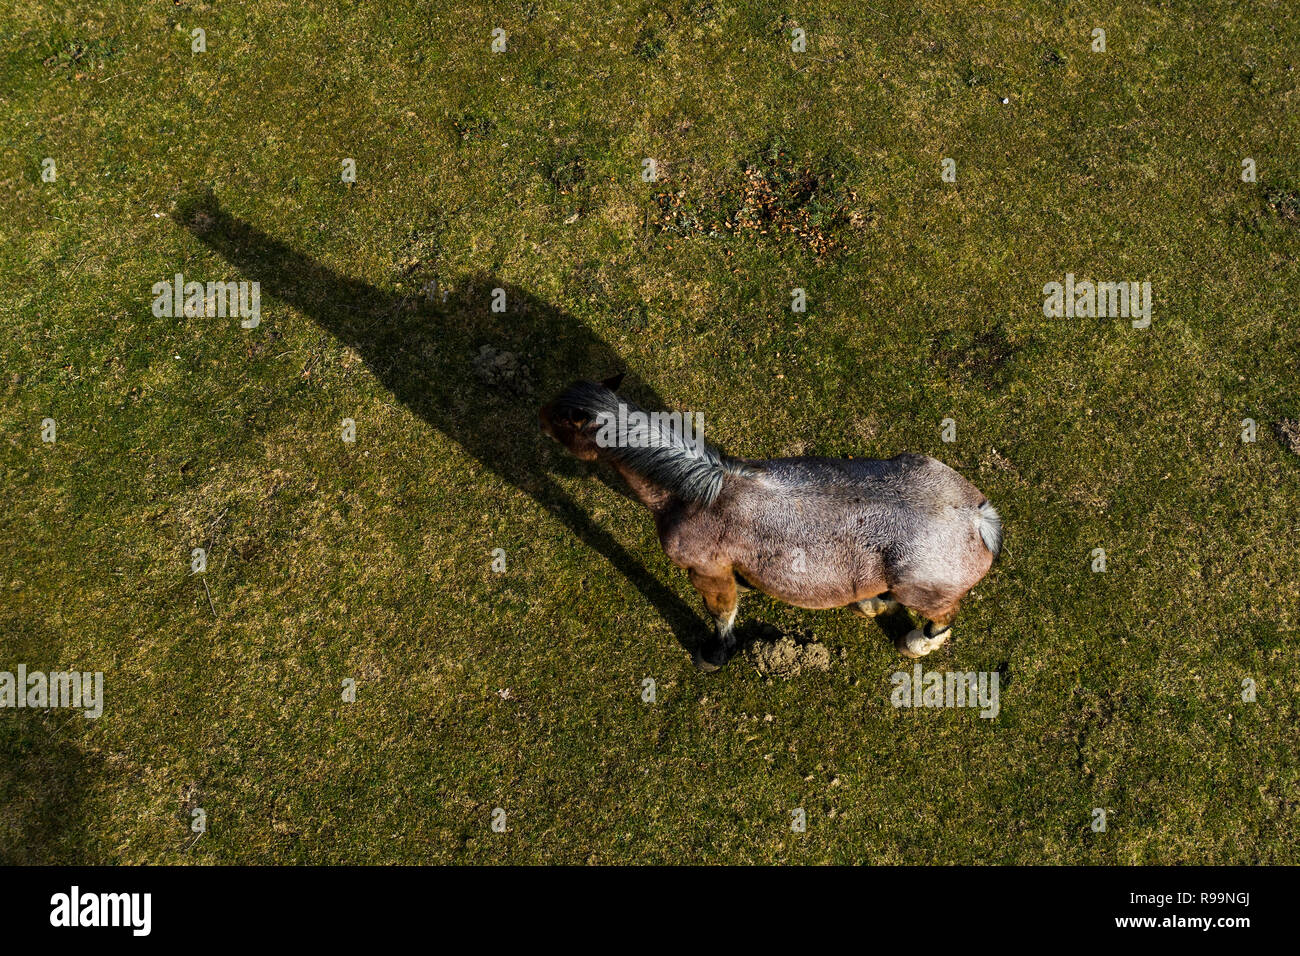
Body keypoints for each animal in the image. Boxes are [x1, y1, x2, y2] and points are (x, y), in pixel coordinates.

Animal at [540, 375, 1002, 670]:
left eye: (564, 420)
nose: (539, 417)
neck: (700, 494)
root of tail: (978, 518)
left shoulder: (707, 572)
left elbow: (722, 613)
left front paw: (714, 656)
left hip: (924, 594)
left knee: (943, 618)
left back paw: (916, 644)